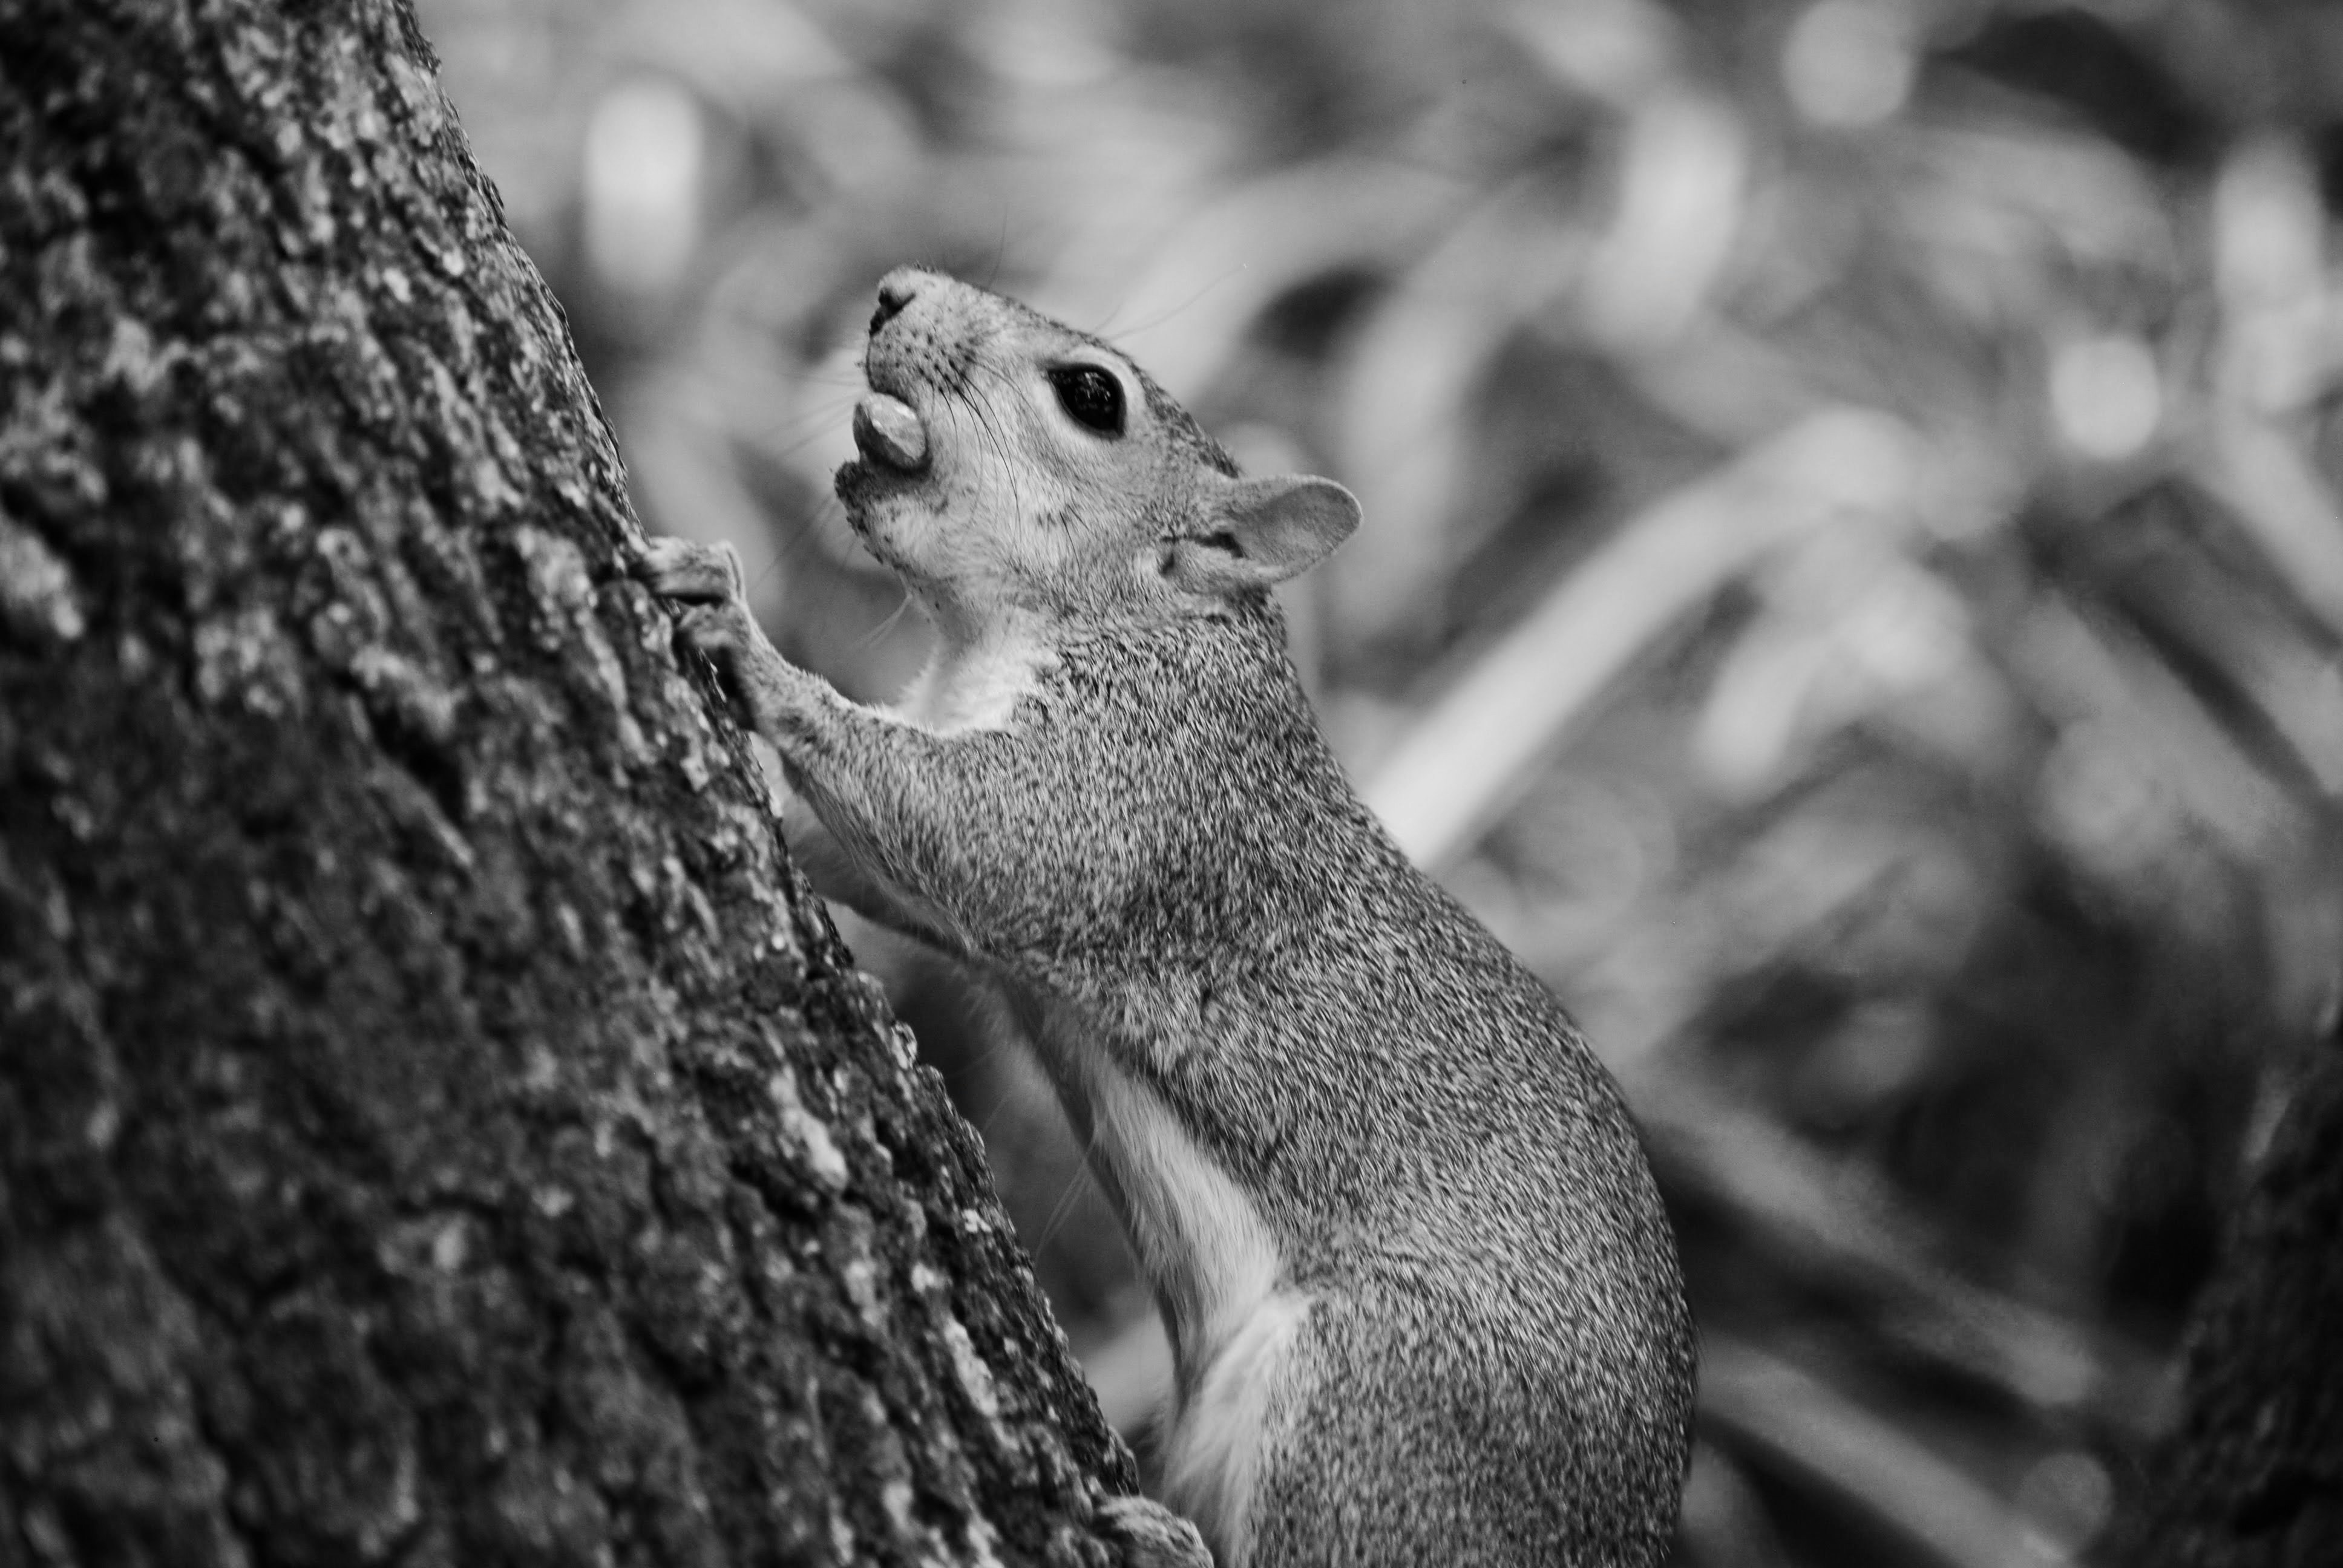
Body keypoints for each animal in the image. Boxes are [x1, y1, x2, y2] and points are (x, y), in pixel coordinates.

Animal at [638, 268, 1696, 1567]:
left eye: (1093, 397)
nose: (893, 291)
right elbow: (880, 855)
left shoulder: (1143, 782)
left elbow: (981, 836)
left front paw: (748, 641)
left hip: (1385, 1397)